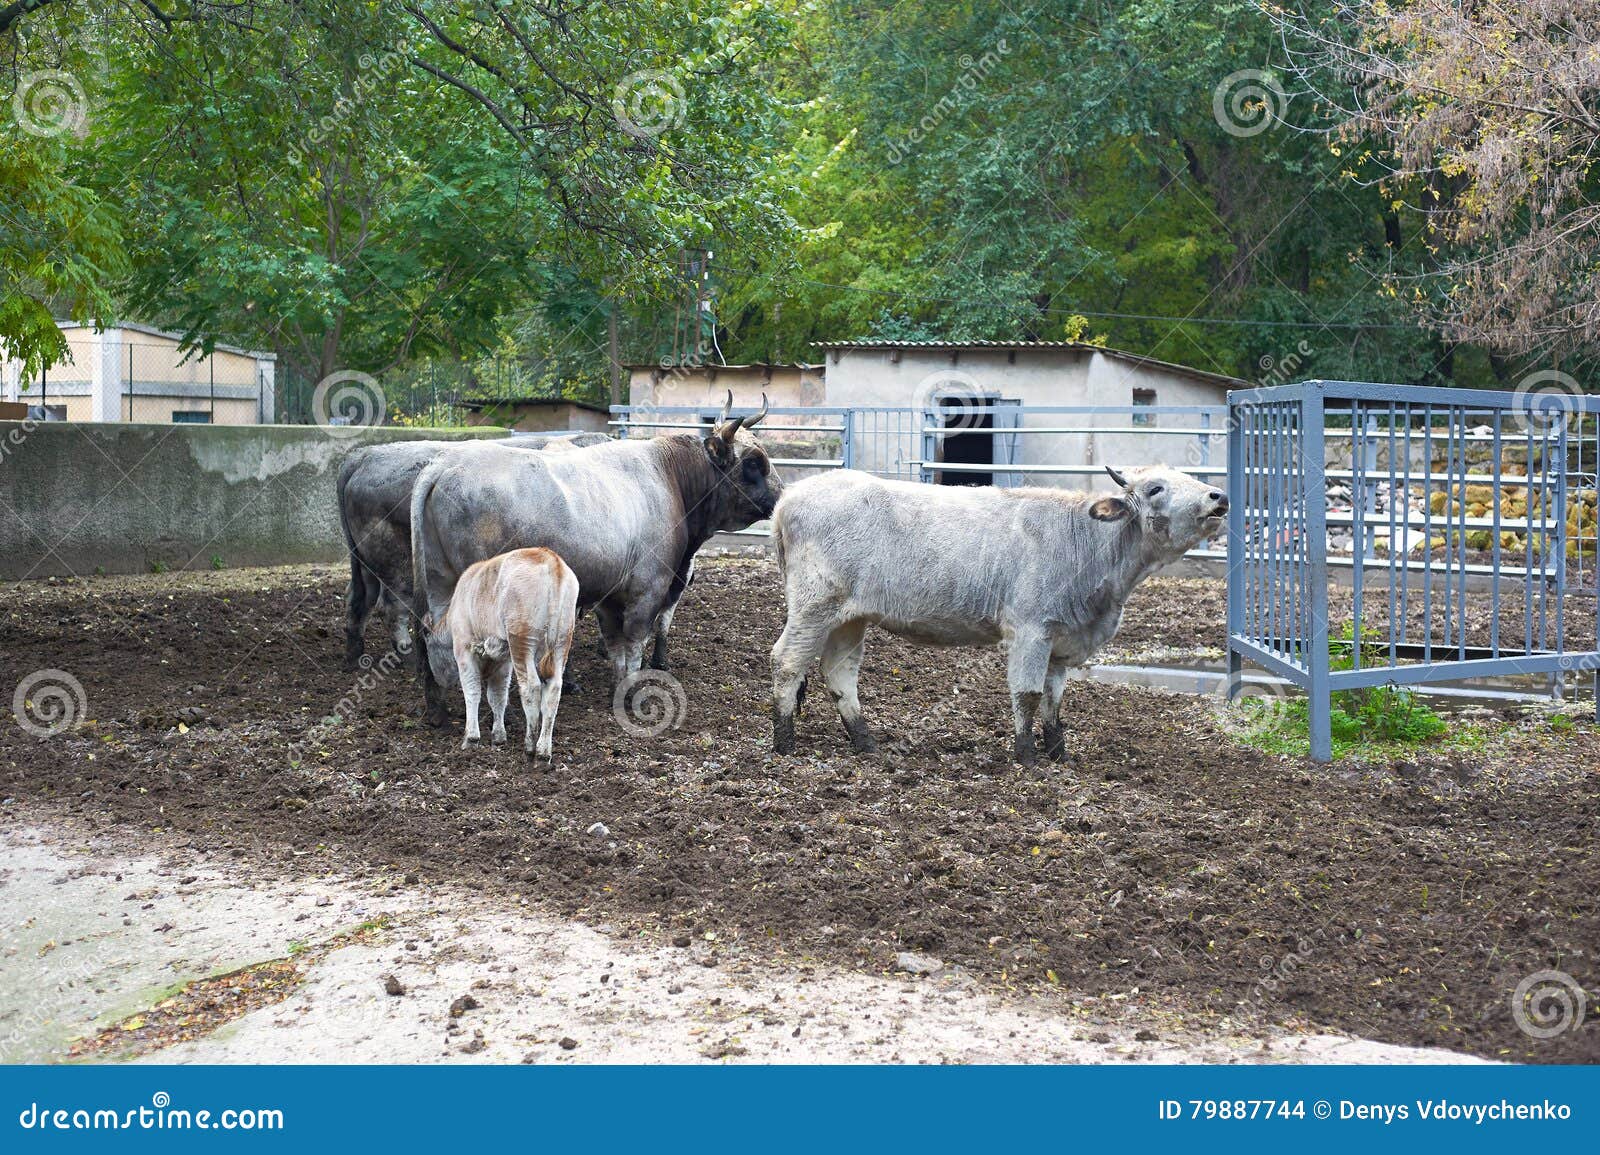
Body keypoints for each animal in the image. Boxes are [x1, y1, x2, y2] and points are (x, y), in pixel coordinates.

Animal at [336, 432, 608, 670]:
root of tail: (364, 455)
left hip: (367, 562)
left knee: (359, 597)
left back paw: (354, 655)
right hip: (397, 565)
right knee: (391, 606)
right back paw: (406, 655)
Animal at [411, 394, 780, 725]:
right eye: (753, 462)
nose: (781, 497)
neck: (670, 477)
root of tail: (446, 464)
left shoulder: (609, 596)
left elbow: (616, 647)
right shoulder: (648, 589)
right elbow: (634, 644)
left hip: (440, 579)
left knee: (432, 634)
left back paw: (437, 710)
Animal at [437, 547, 579, 763]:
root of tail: (551, 559)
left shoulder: (464, 649)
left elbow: (472, 691)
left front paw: (471, 738)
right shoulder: (503, 662)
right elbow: (498, 695)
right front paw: (498, 737)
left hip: (521, 639)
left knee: (531, 687)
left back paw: (530, 746)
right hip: (562, 641)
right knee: (553, 690)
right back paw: (544, 751)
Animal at [769, 465, 1229, 764]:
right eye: (1155, 488)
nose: (1218, 496)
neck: (1087, 541)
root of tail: (790, 497)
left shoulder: (1060, 640)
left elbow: (1053, 699)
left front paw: (1059, 753)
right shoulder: (1030, 630)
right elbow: (1027, 694)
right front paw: (1026, 756)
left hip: (849, 618)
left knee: (839, 674)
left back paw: (866, 743)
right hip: (813, 607)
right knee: (787, 661)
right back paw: (784, 741)